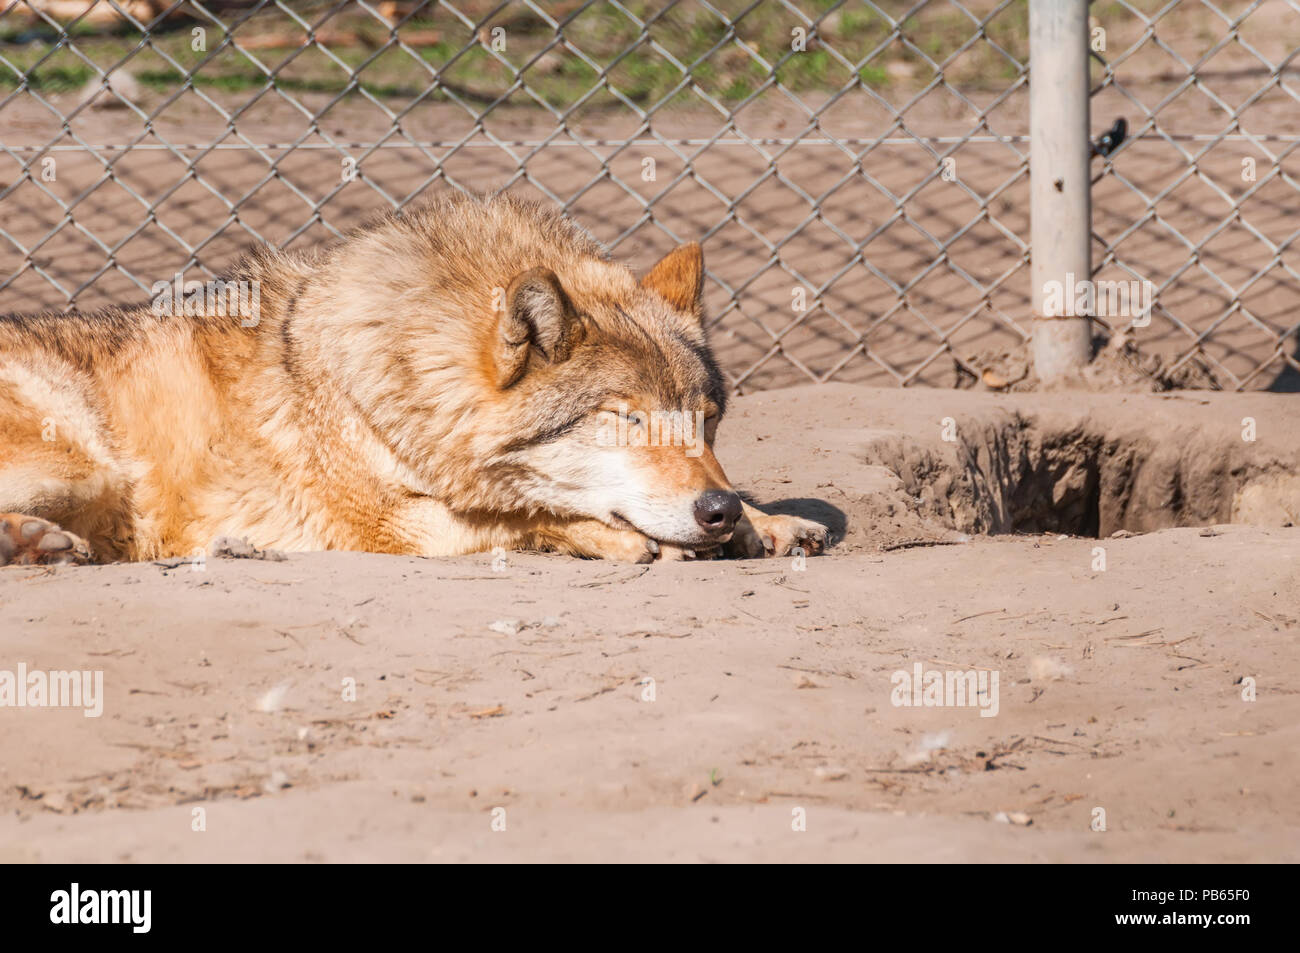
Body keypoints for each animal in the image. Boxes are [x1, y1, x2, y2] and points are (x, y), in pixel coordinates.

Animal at [0, 193, 828, 567]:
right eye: (627, 420)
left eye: (707, 421)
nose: (717, 511)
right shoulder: (384, 525)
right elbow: (519, 517)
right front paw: (619, 537)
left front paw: (766, 520)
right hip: (83, 462)